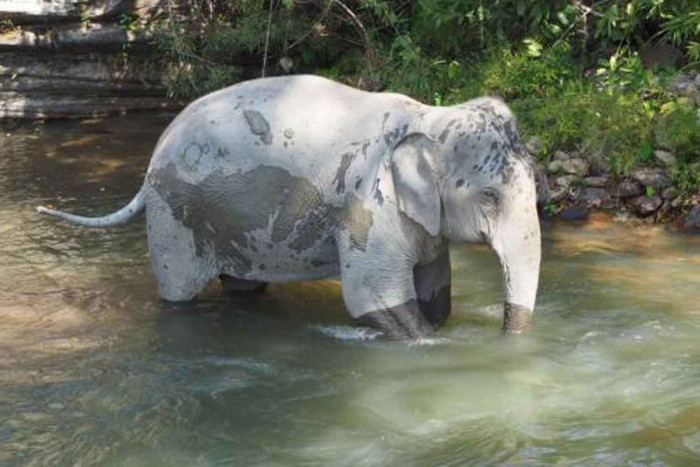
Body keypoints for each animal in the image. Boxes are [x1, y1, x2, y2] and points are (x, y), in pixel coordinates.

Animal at [37, 75, 541, 339]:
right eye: (489, 196)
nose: (504, 338)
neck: (429, 115)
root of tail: (147, 172)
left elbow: (436, 289)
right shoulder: (368, 210)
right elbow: (376, 298)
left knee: (242, 285)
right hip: (174, 218)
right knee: (178, 292)